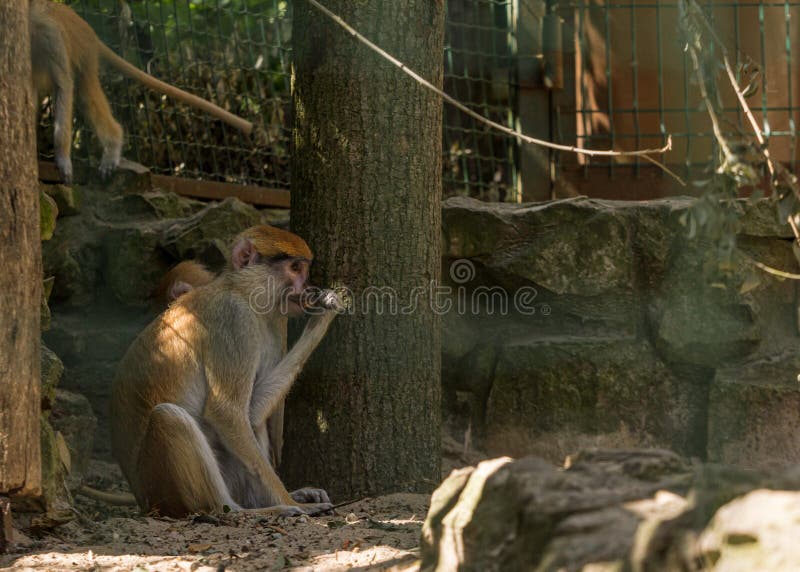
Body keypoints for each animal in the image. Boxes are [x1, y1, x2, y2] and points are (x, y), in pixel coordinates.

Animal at [30, 0, 254, 184]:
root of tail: (85, 27)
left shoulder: (49, 33)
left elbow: (63, 86)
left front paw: (62, 159)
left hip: (84, 53)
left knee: (85, 94)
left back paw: (113, 144)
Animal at [110, 225, 342, 518]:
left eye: (305, 268)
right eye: (295, 268)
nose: (307, 288)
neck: (241, 290)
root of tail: (143, 499)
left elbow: (252, 411)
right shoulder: (234, 320)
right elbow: (226, 412)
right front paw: (294, 503)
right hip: (160, 485)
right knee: (169, 417)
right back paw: (247, 510)